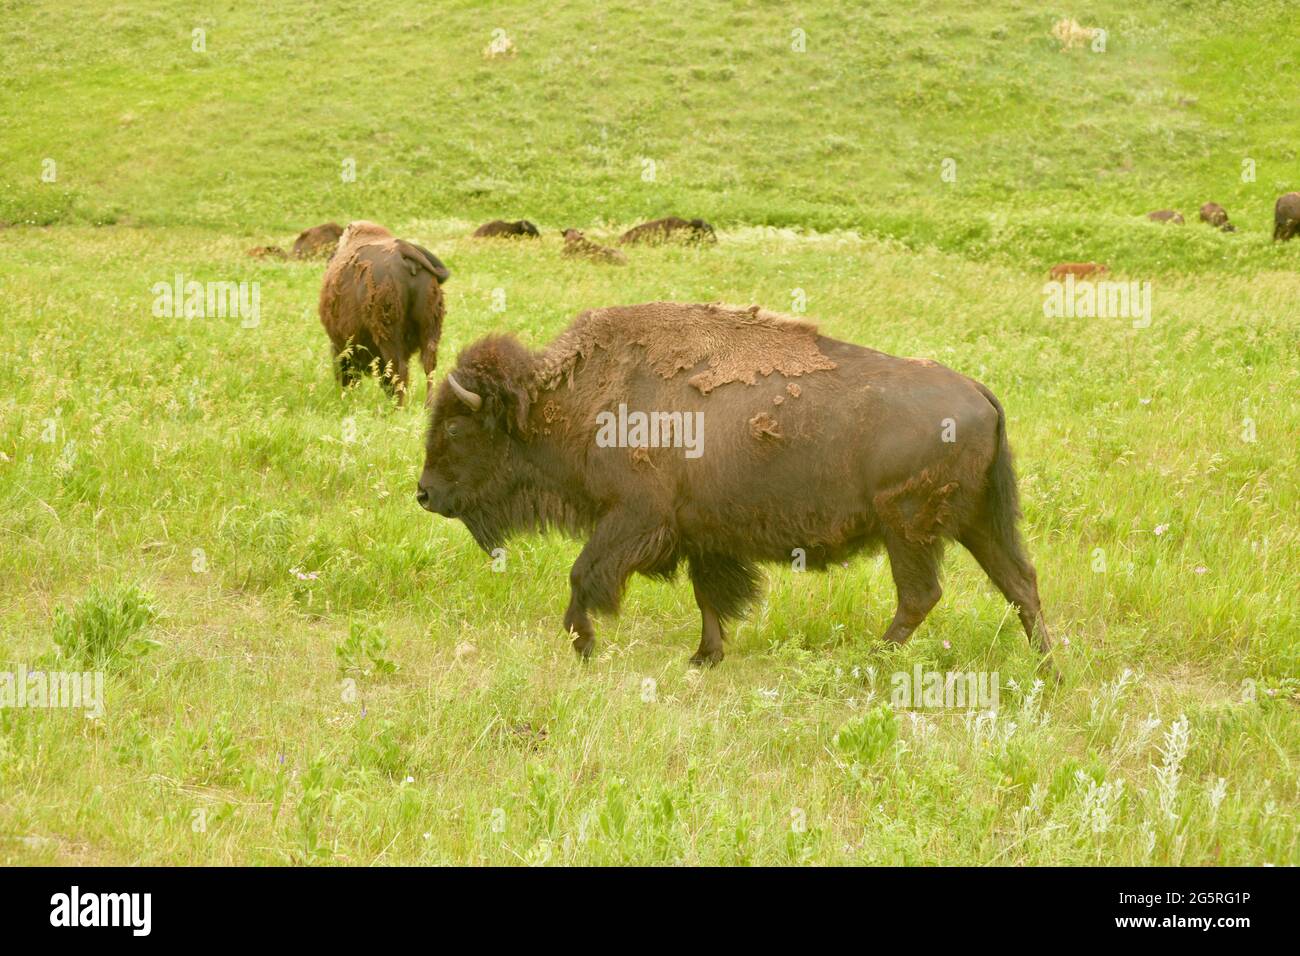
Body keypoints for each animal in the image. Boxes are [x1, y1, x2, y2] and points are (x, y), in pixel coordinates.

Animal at [318, 221, 450, 406]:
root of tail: (404, 250)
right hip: (430, 329)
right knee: (429, 367)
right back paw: (428, 406)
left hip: (388, 337)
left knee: (399, 371)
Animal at [417, 302, 1054, 670]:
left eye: (454, 426)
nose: (423, 494)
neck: (571, 400)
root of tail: (978, 392)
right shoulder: (702, 535)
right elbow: (709, 597)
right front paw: (705, 657)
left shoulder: (634, 518)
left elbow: (584, 574)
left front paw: (584, 644)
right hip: (978, 524)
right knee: (1020, 583)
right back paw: (1046, 668)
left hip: (910, 529)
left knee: (922, 595)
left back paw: (871, 661)